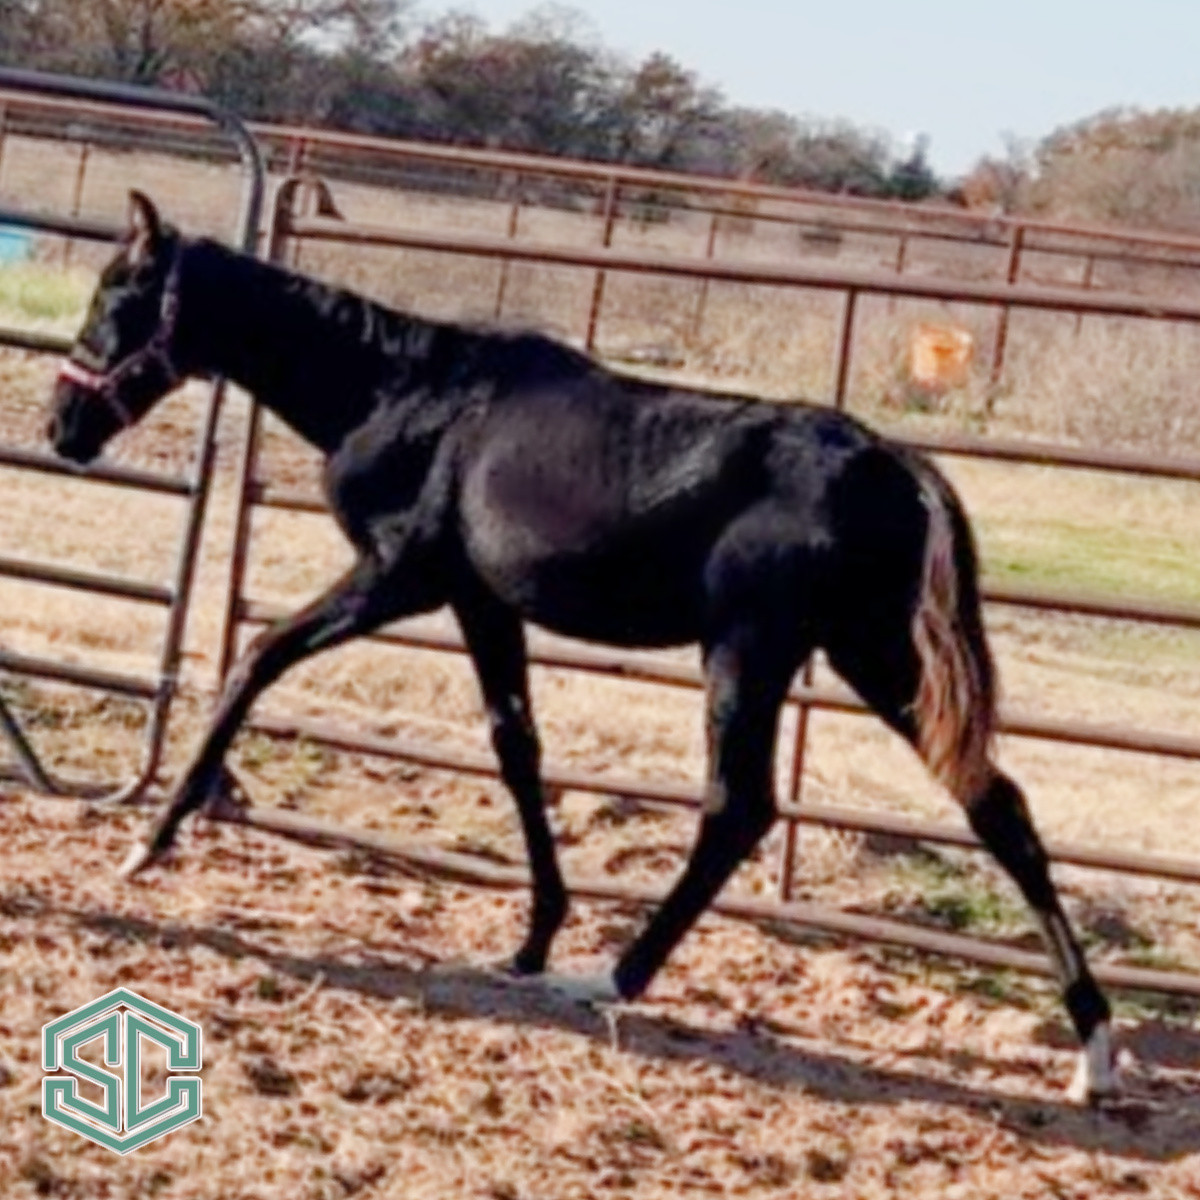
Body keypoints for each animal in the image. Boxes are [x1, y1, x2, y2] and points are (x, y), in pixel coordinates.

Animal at [47, 191, 1118, 1103]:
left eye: (116, 295)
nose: (61, 427)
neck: (405, 392)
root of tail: (893, 463)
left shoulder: (399, 577)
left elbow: (258, 657)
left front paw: (150, 840)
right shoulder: (482, 605)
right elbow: (516, 747)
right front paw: (530, 939)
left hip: (751, 652)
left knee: (740, 807)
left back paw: (611, 978)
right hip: (875, 656)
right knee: (997, 807)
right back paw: (1095, 1054)